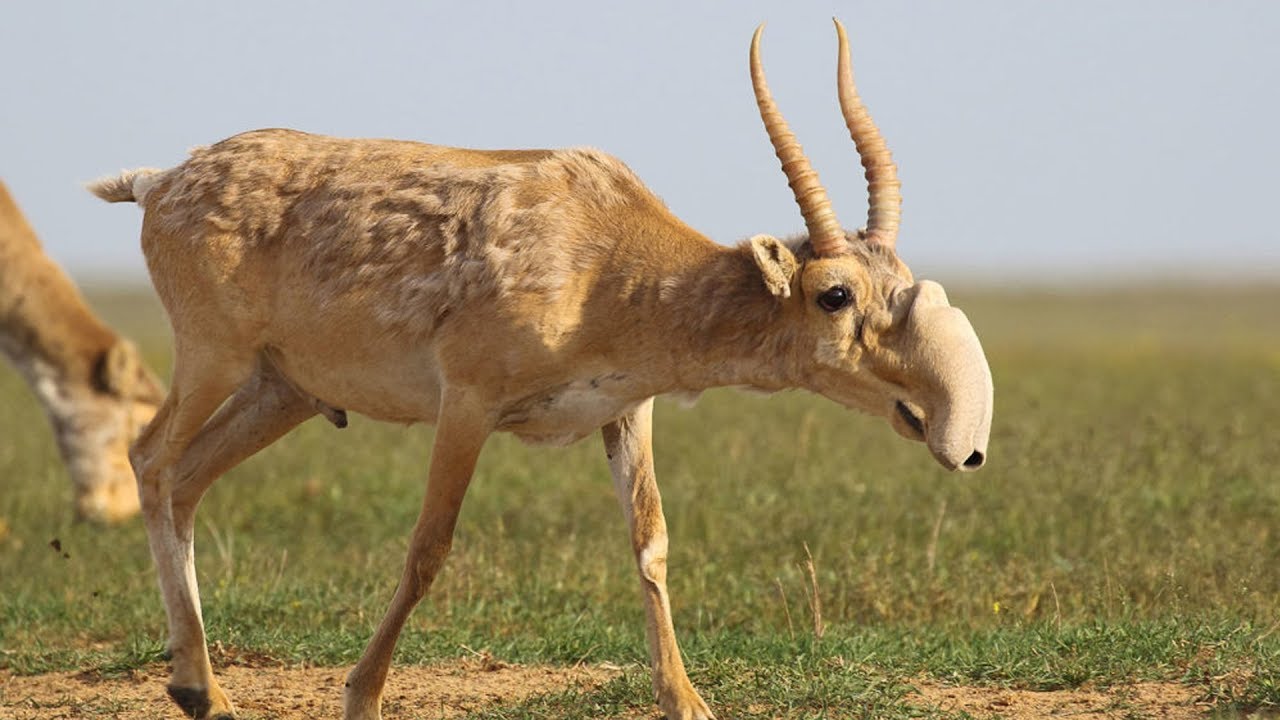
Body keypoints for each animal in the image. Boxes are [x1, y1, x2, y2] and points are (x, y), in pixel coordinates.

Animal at [89, 20, 992, 720]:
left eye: (899, 279)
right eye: (835, 294)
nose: (943, 422)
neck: (608, 256)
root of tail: (161, 181)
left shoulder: (627, 410)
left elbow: (651, 541)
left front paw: (688, 700)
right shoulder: (468, 404)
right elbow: (429, 546)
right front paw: (362, 694)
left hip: (283, 392)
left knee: (188, 480)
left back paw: (199, 688)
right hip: (215, 359)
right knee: (152, 459)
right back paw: (203, 687)